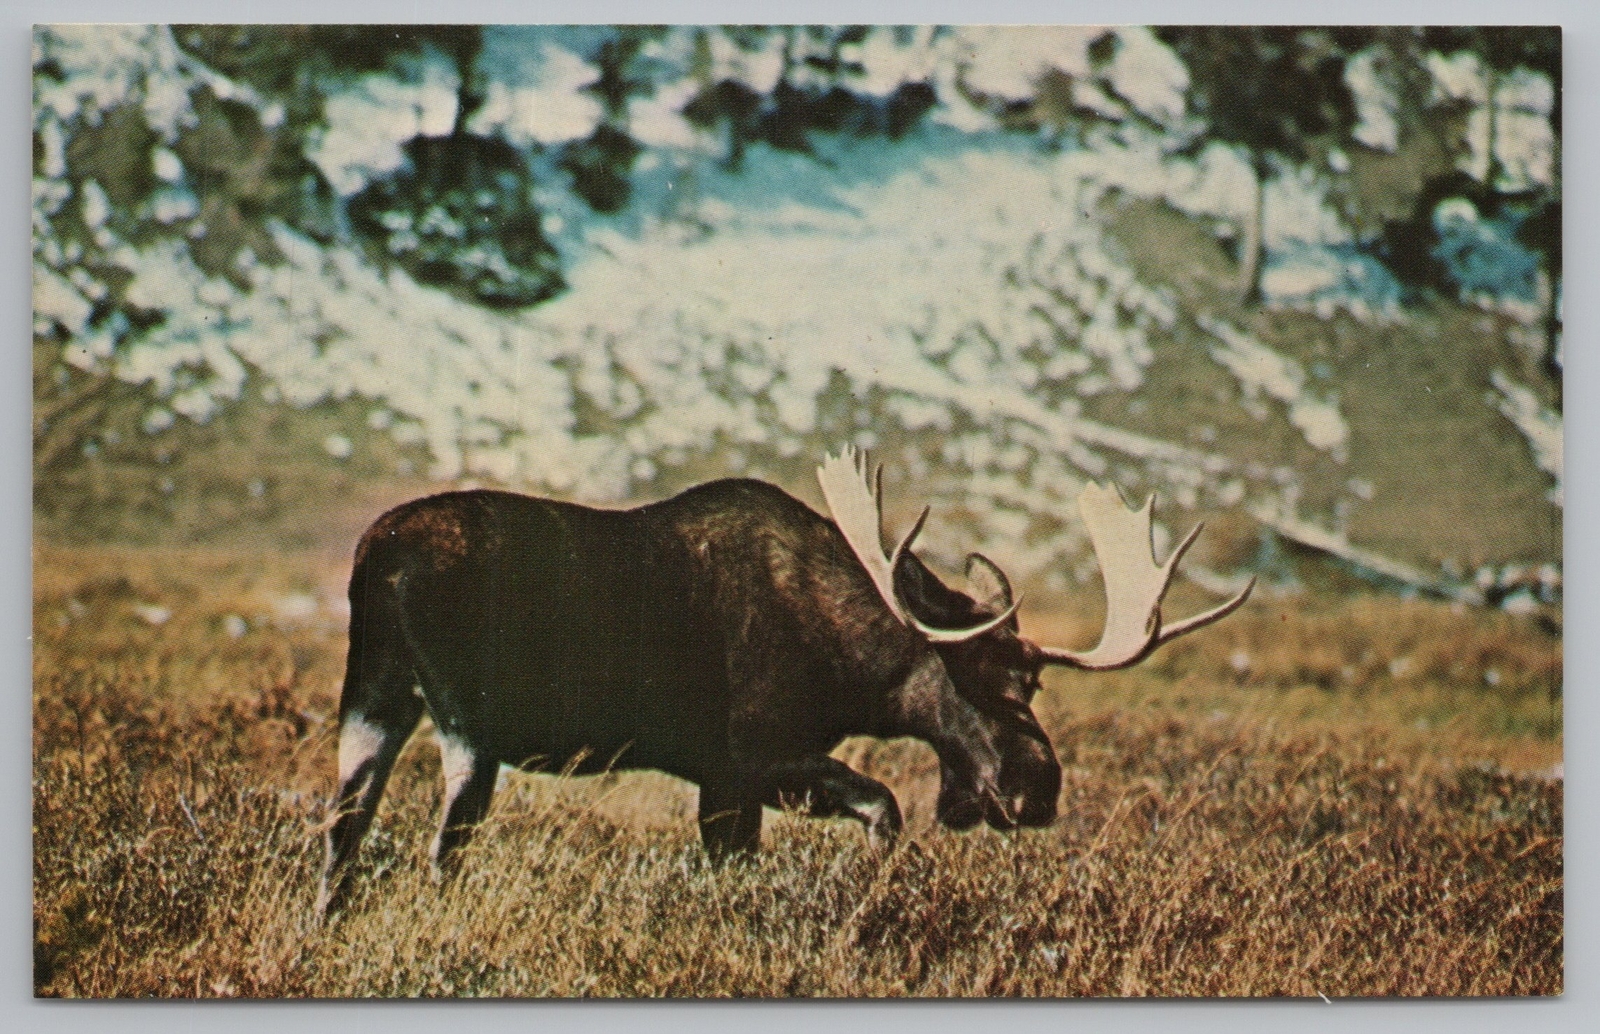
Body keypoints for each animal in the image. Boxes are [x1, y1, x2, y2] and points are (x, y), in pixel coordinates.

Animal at [316, 446, 1251, 917]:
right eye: (967, 671)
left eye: (1034, 681)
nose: (1034, 789)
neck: (853, 661)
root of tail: (375, 560)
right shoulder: (749, 759)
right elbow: (882, 807)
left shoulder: (730, 777)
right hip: (467, 728)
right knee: (443, 844)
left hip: (372, 704)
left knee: (343, 831)